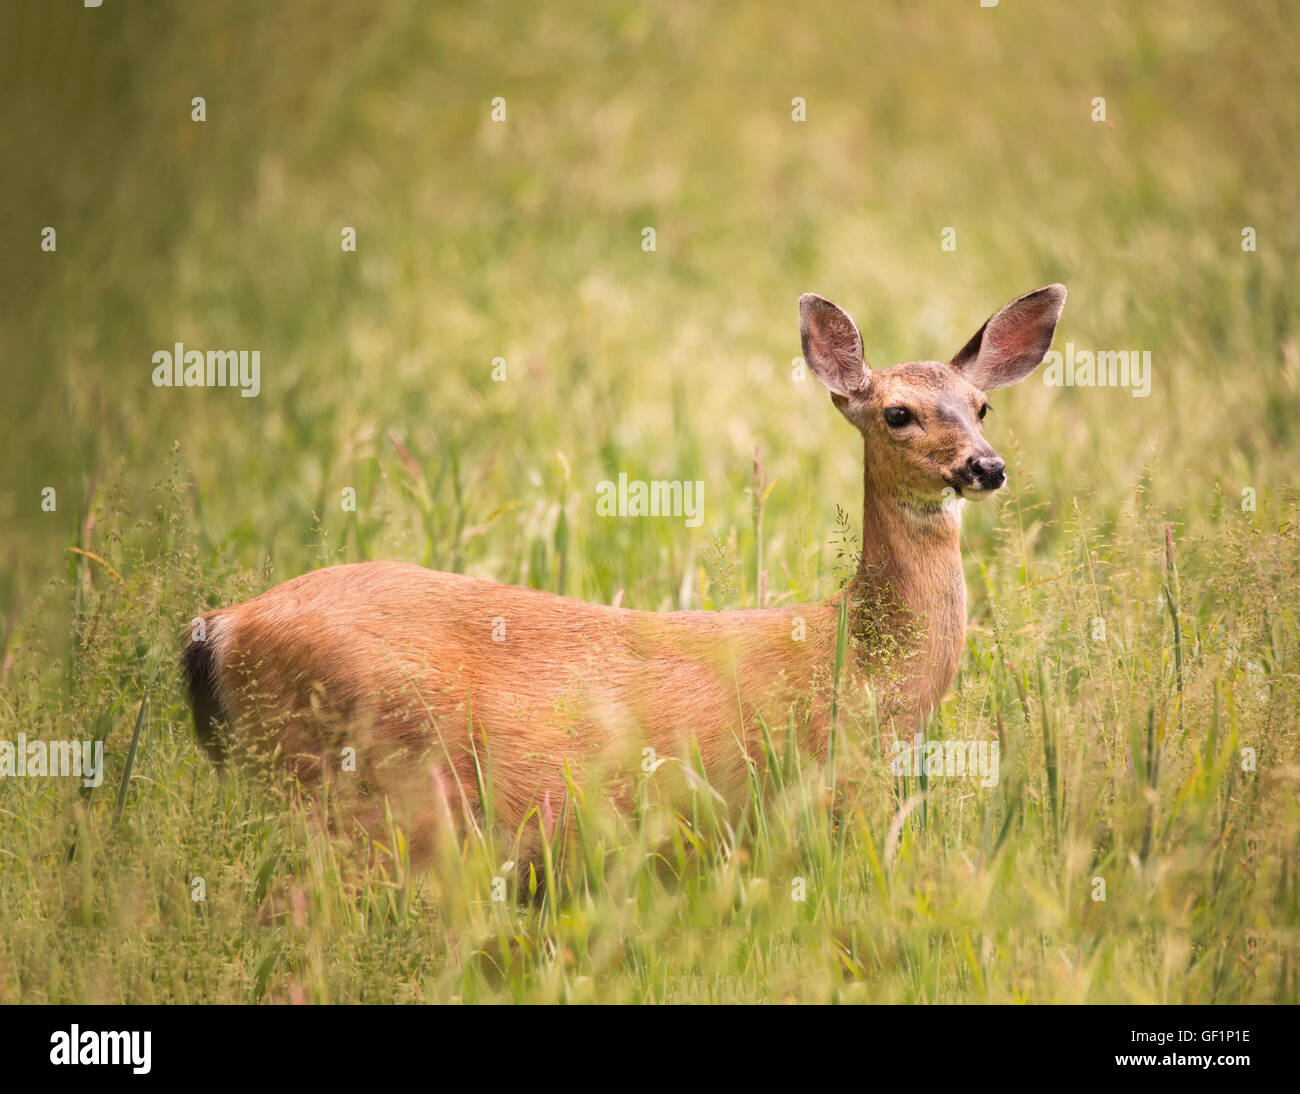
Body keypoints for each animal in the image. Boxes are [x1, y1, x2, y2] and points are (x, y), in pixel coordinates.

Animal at [182, 284, 1066, 866]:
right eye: (897, 413)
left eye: (981, 407)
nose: (986, 467)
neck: (863, 657)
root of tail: (219, 626)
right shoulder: (826, 789)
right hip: (357, 781)